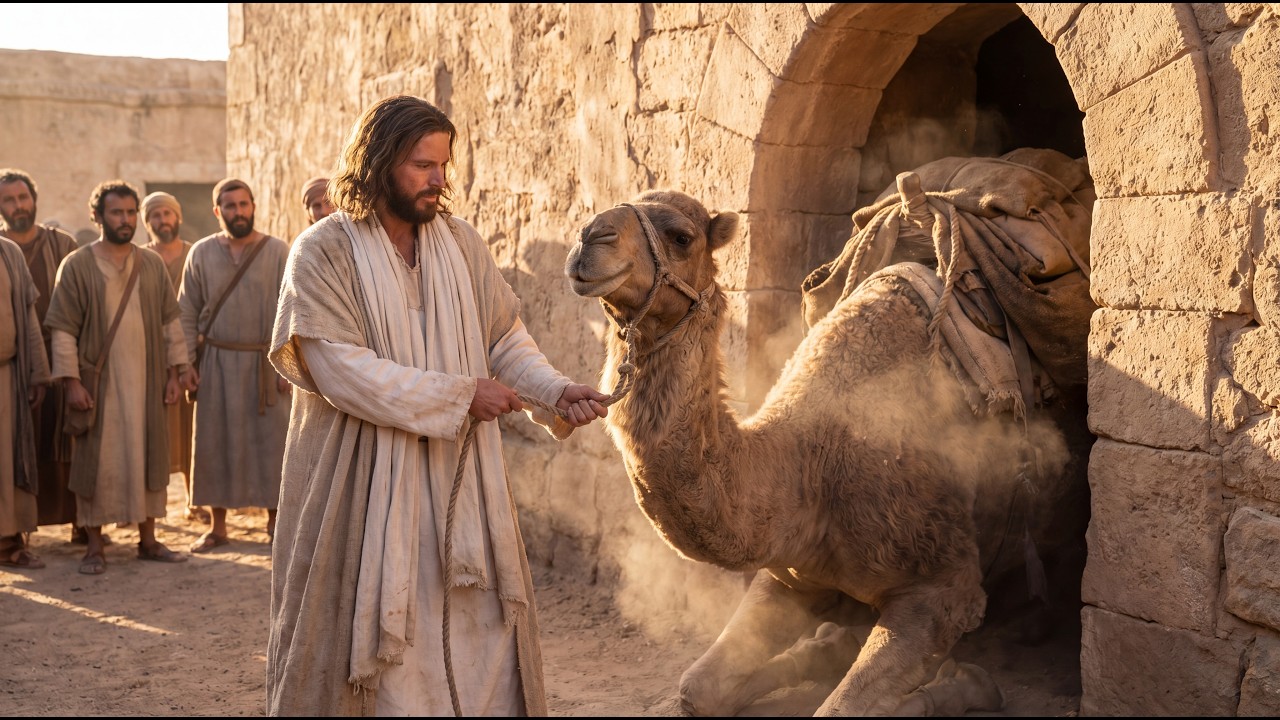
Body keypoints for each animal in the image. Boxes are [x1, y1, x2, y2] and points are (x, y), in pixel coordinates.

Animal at [564, 188, 1091, 716]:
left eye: (680, 236)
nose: (591, 237)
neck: (811, 462)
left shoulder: (944, 582)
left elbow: (839, 707)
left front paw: (959, 685)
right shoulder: (792, 571)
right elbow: (698, 688)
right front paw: (829, 646)